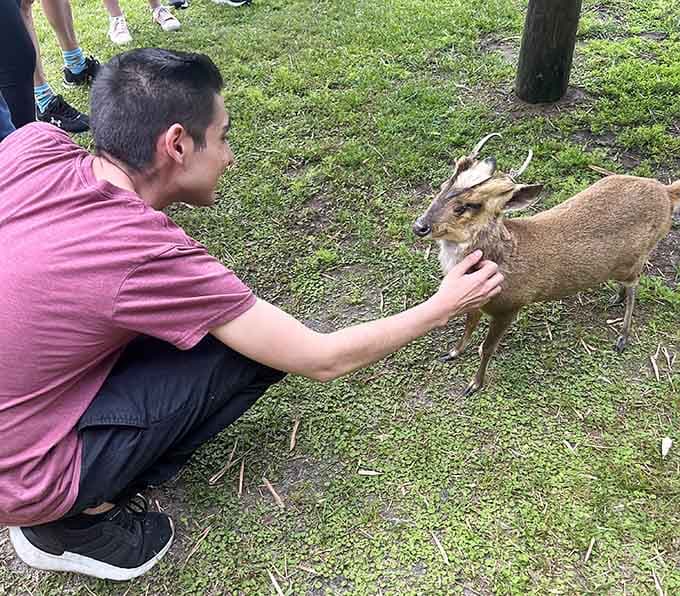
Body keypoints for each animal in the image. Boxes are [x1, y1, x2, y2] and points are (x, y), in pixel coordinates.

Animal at [413, 133, 680, 397]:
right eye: (442, 186)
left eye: (468, 206)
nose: (419, 226)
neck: (503, 259)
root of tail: (666, 191)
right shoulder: (476, 300)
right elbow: (468, 326)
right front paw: (452, 353)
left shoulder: (511, 305)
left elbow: (486, 347)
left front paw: (474, 385)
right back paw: (615, 299)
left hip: (635, 257)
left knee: (636, 283)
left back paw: (623, 336)